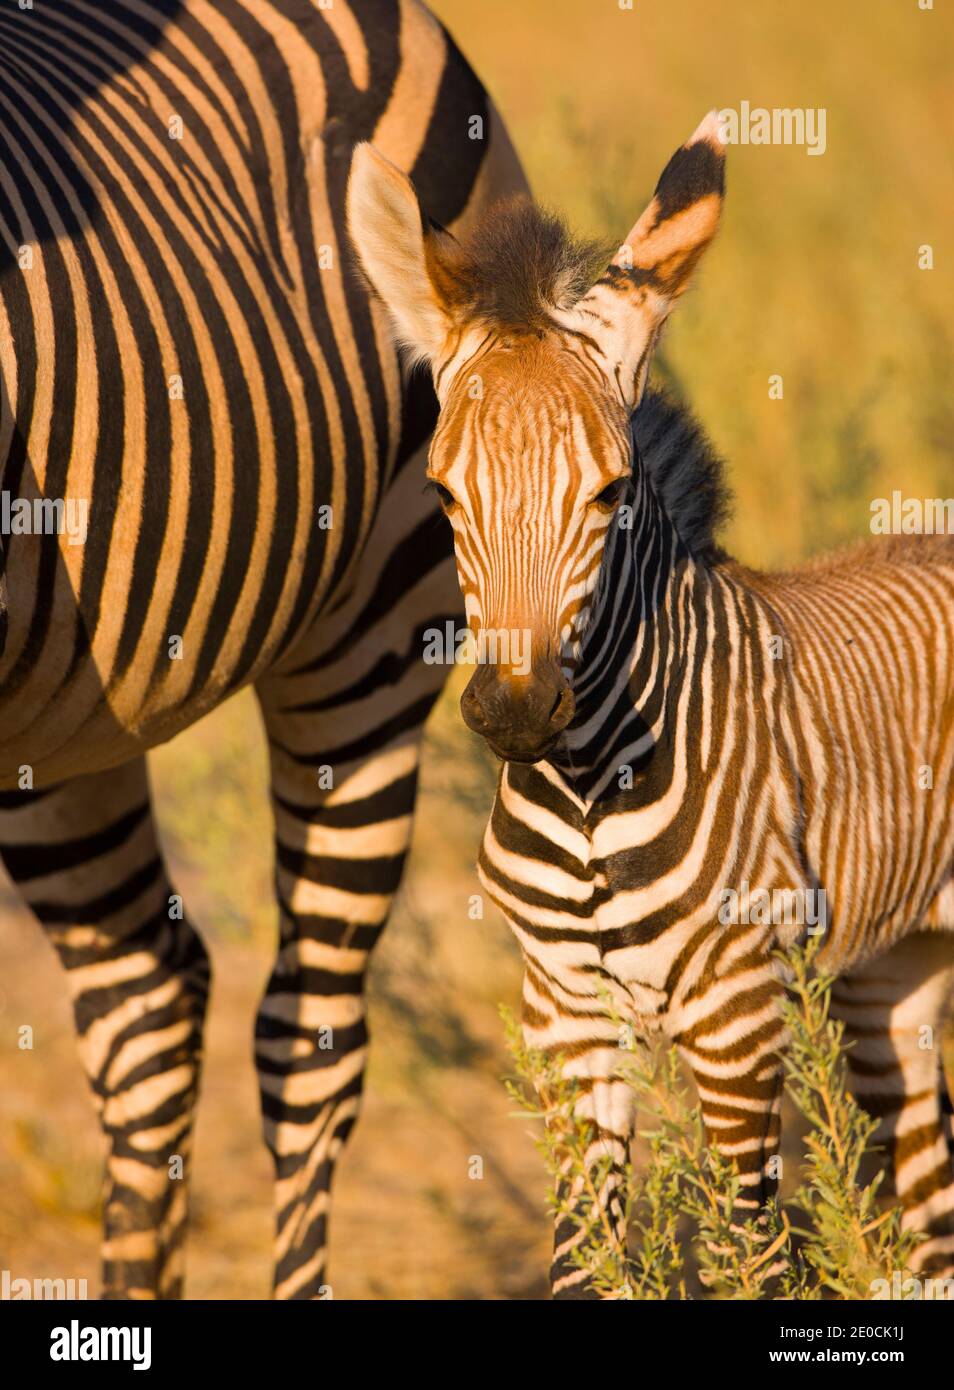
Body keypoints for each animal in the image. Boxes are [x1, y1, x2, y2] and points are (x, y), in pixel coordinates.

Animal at [348, 110, 954, 1297]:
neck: (589, 792)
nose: (515, 714)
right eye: (442, 493)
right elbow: (583, 1262)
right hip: (893, 973)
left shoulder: (737, 1018)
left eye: (612, 492)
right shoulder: (565, 1013)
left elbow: (749, 1257)